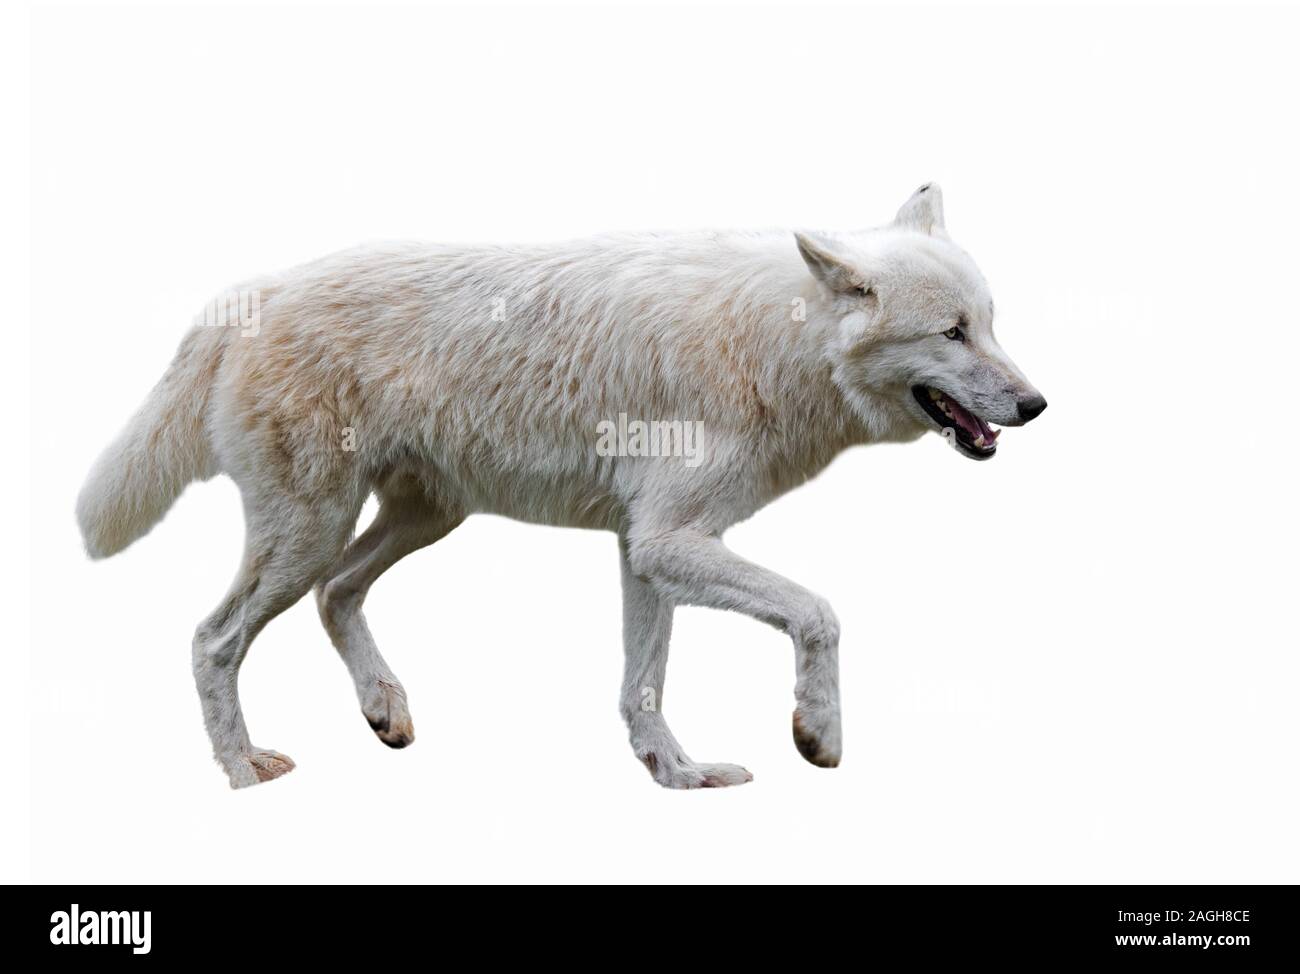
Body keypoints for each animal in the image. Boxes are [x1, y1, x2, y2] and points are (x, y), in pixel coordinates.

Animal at [77, 184, 1046, 789]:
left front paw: (679, 776)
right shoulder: (667, 540)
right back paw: (244, 773)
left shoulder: (644, 550)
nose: (1037, 404)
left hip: (420, 518)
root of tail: (250, 292)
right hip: (312, 530)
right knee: (213, 639)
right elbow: (820, 613)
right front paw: (818, 734)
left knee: (336, 594)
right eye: (952, 333)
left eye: (991, 325)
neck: (774, 343)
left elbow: (641, 683)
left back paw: (385, 711)